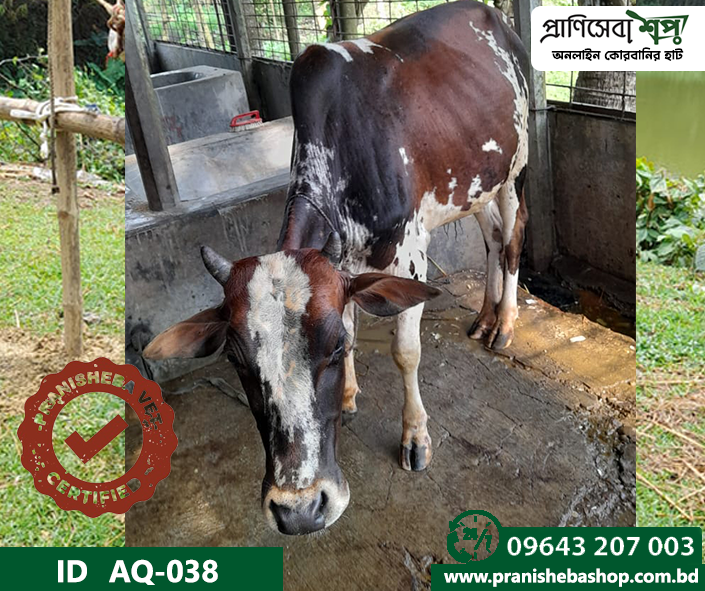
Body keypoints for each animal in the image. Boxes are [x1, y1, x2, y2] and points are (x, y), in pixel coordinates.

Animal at [143, 1, 528, 536]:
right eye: (238, 362)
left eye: (334, 349)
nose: (299, 509)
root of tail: (494, 16)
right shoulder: (342, 266)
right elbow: (349, 311)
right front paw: (347, 393)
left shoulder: (410, 253)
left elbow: (405, 352)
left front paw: (415, 437)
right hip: (475, 182)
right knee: (491, 237)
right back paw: (484, 316)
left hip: (515, 168)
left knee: (511, 239)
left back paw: (504, 323)